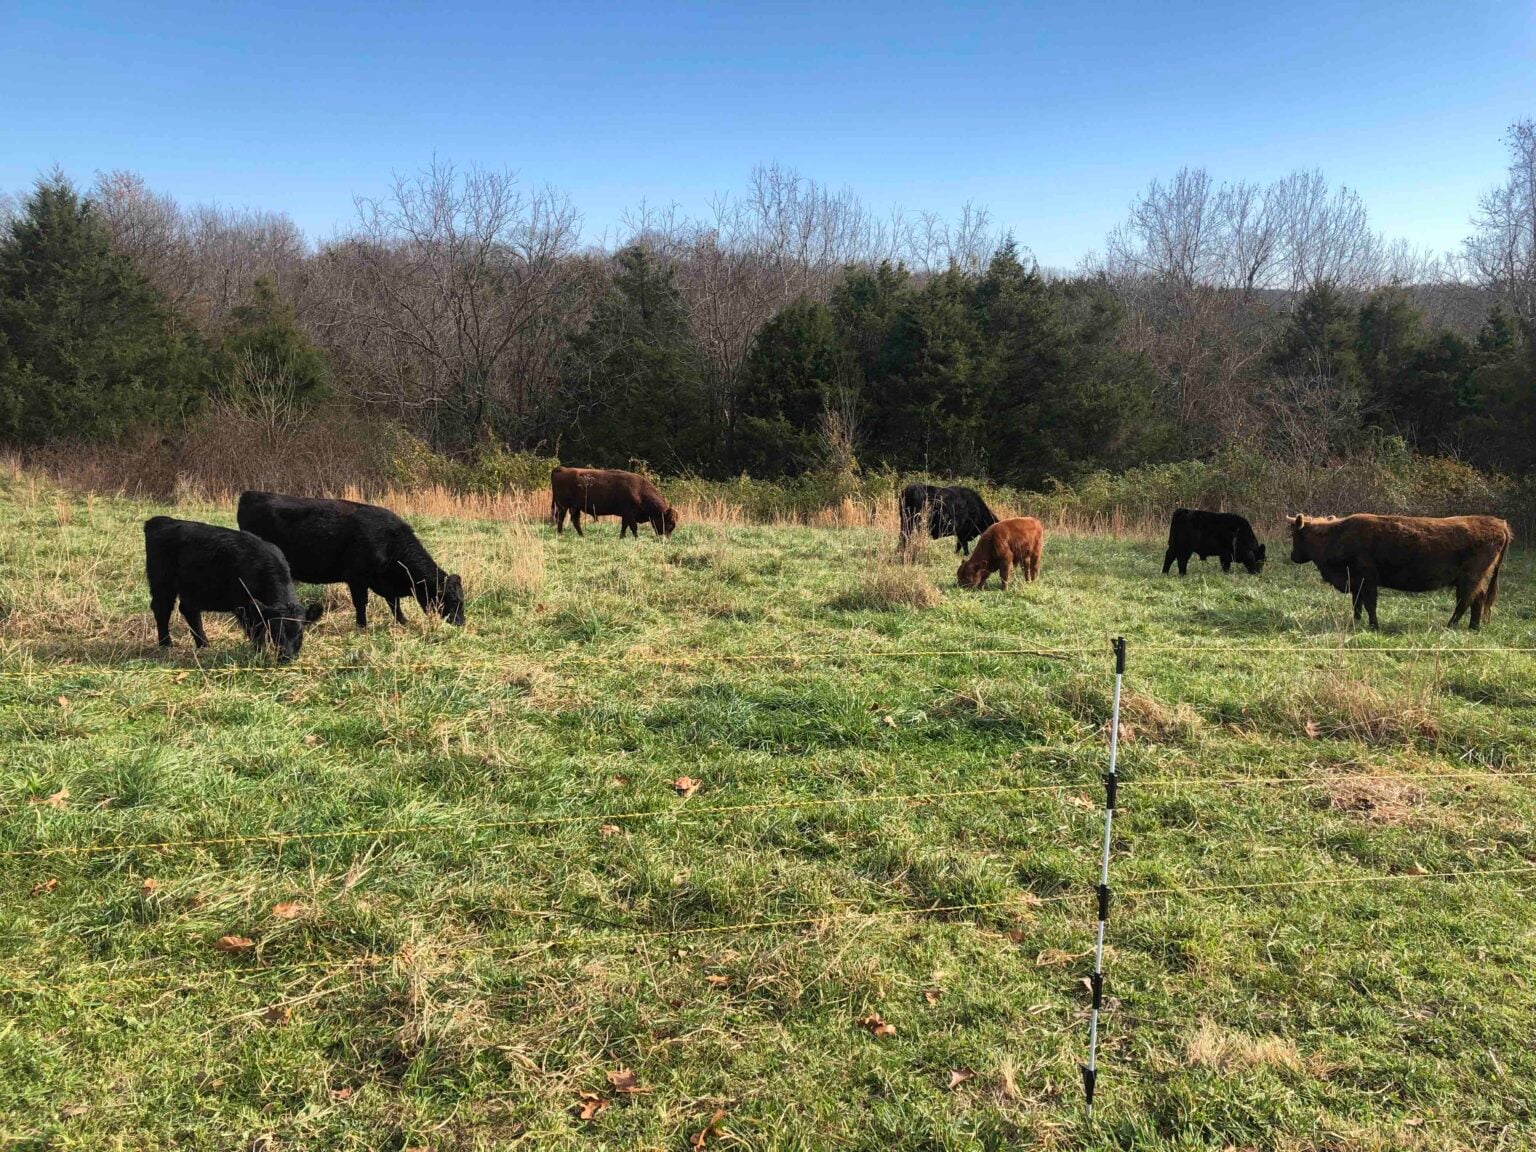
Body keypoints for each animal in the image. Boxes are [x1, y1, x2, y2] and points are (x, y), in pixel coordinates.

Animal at [144, 516, 323, 662]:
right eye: (275, 632)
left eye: (300, 633)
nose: (286, 657)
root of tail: (160, 520)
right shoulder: (244, 607)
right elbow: (256, 633)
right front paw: (260, 655)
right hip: (162, 581)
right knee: (162, 608)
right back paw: (166, 644)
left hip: (191, 586)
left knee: (189, 610)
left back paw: (204, 645)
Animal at [236, 492, 465, 628]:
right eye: (454, 601)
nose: (461, 622)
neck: (390, 542)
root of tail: (251, 494)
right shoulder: (357, 577)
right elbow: (361, 603)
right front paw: (362, 626)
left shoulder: (385, 583)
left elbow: (394, 603)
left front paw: (402, 622)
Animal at [1288, 513, 1513, 630]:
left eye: (1295, 536)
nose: (1293, 556)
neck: (1339, 535)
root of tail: (1498, 522)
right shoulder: (1356, 581)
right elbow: (1357, 603)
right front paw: (1356, 622)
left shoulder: (1368, 579)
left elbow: (1369, 604)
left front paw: (1374, 626)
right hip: (1475, 579)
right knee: (1478, 599)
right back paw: (1473, 627)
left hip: (1469, 577)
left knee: (1464, 601)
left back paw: (1450, 626)